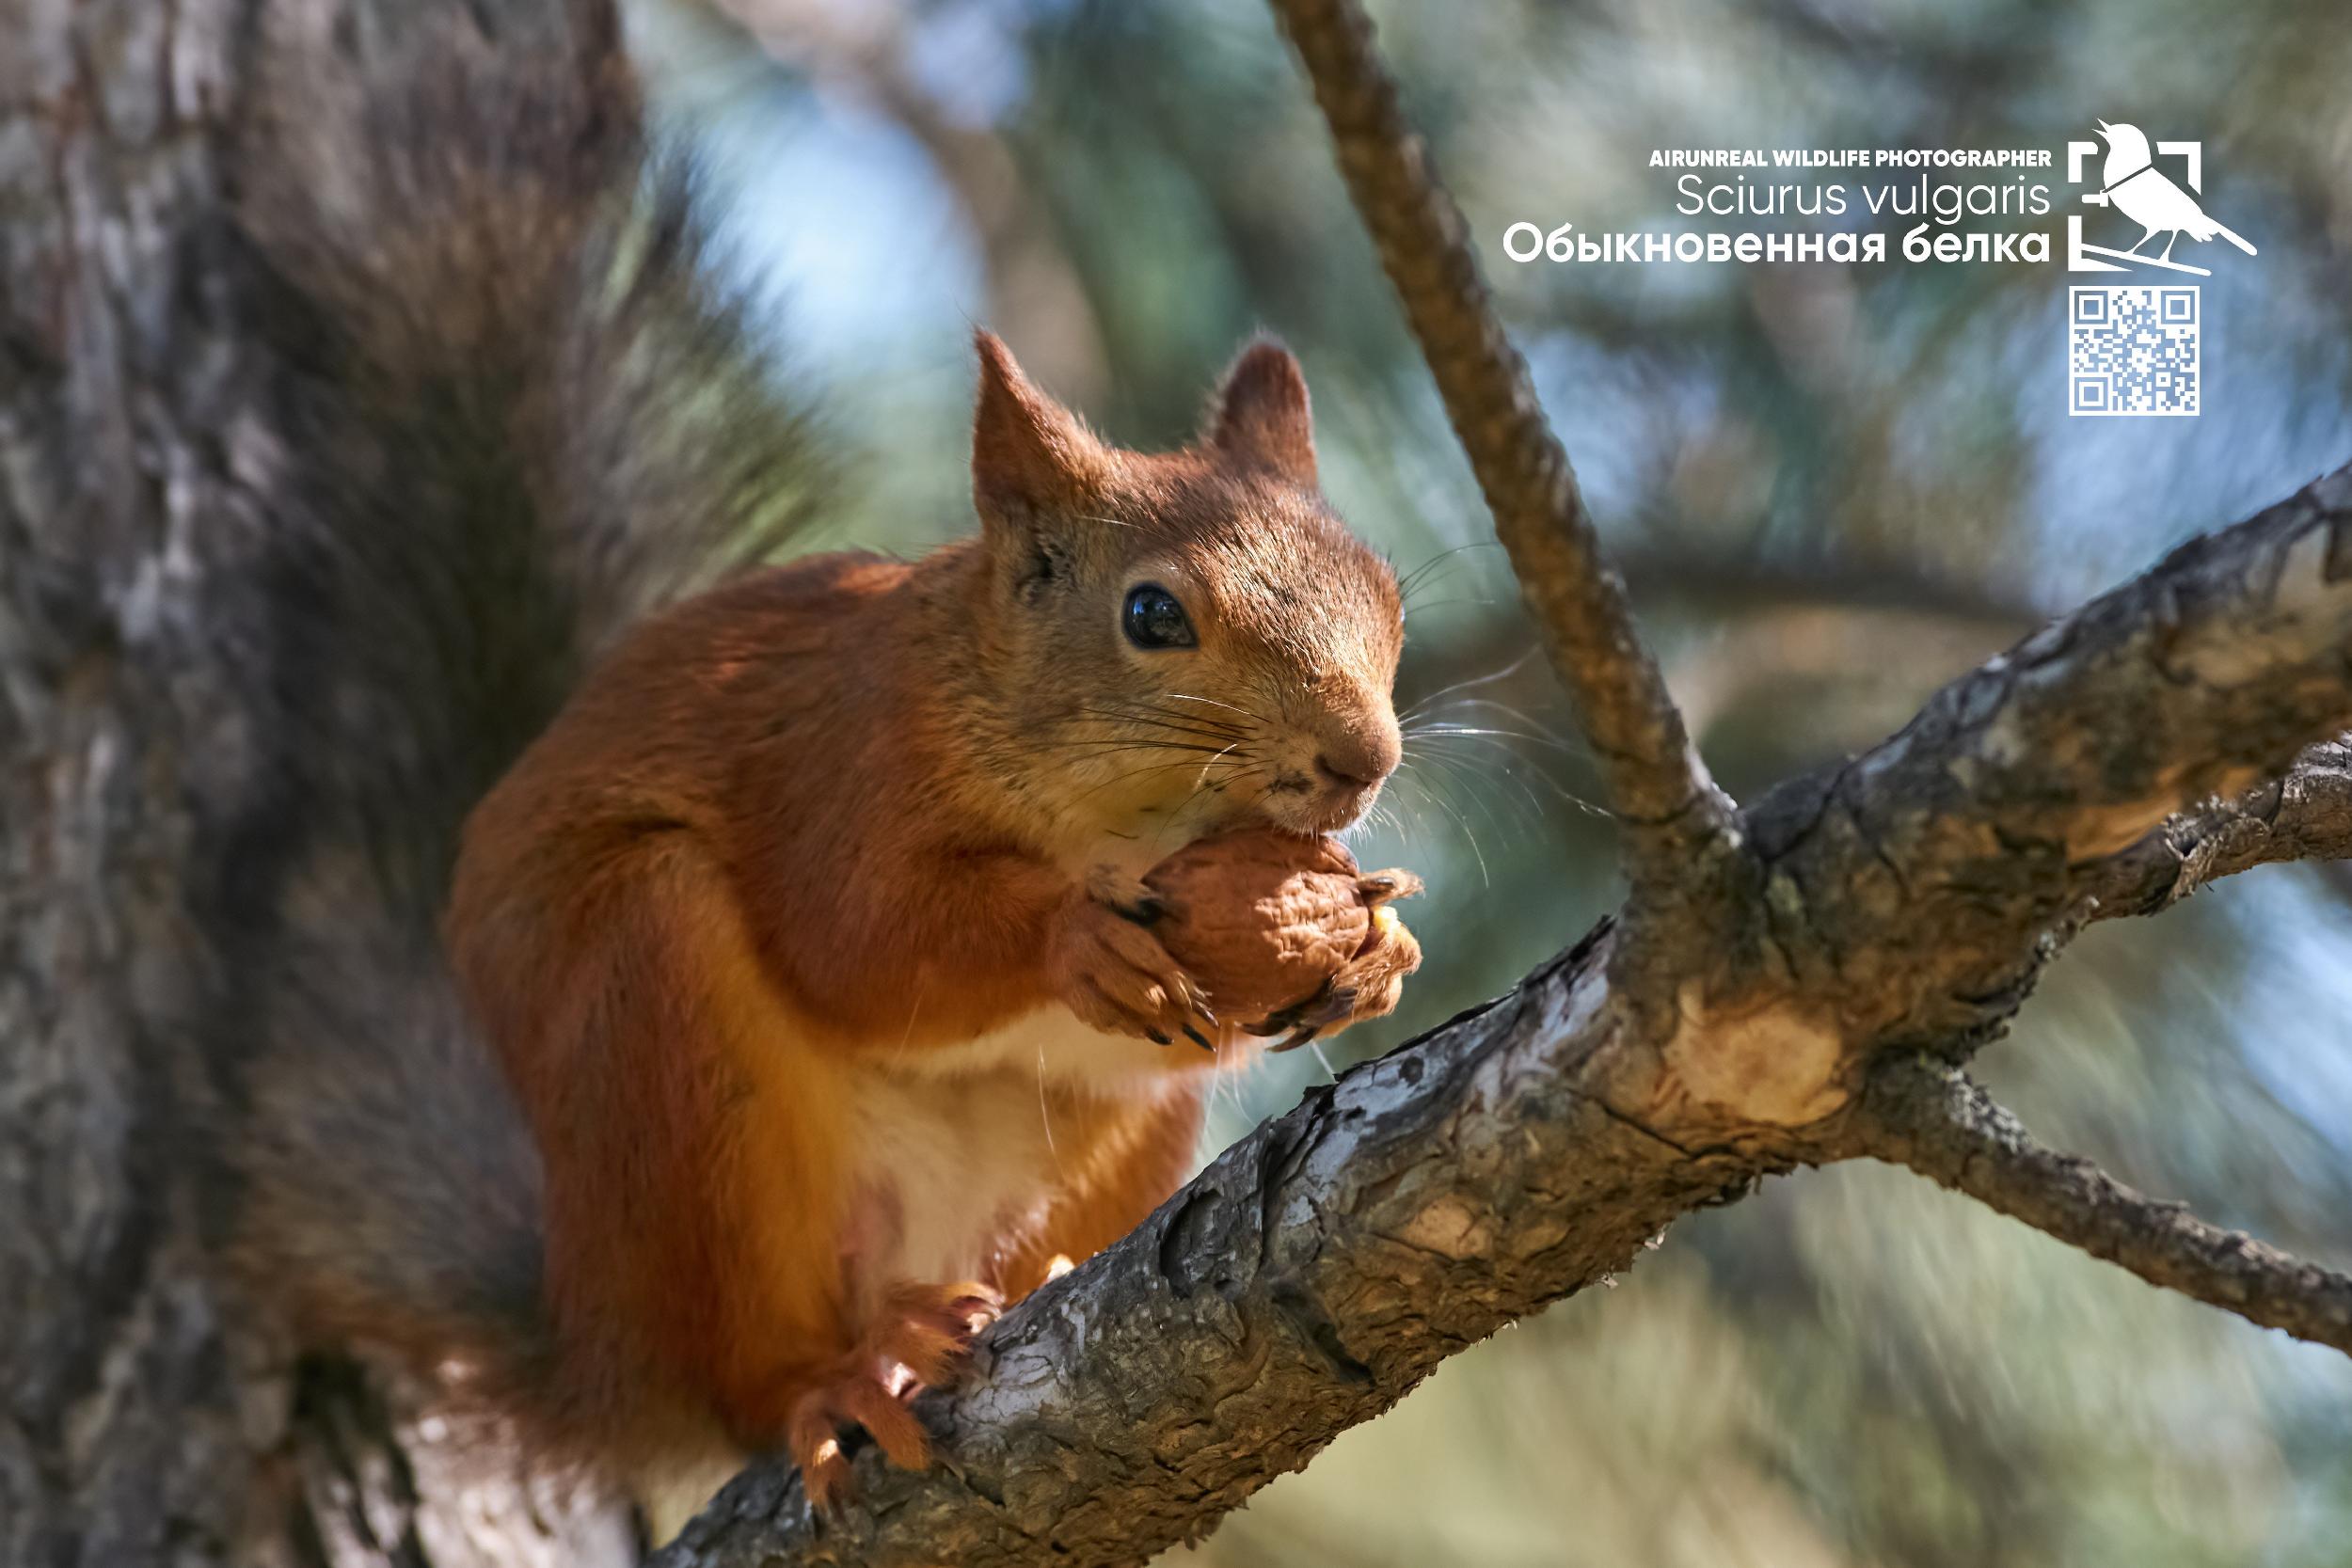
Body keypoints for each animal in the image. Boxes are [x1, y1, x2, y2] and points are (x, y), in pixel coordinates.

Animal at [219, 0, 1418, 1538]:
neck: (1123, 819)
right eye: (1154, 615)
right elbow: (859, 938)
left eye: (1382, 588)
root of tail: (604, 1342)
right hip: (662, 1042)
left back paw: (1007, 1293)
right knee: (751, 1371)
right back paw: (838, 1376)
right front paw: (1070, 933)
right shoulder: (845, 765)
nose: (1361, 758)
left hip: (1112, 1142)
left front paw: (1372, 947)